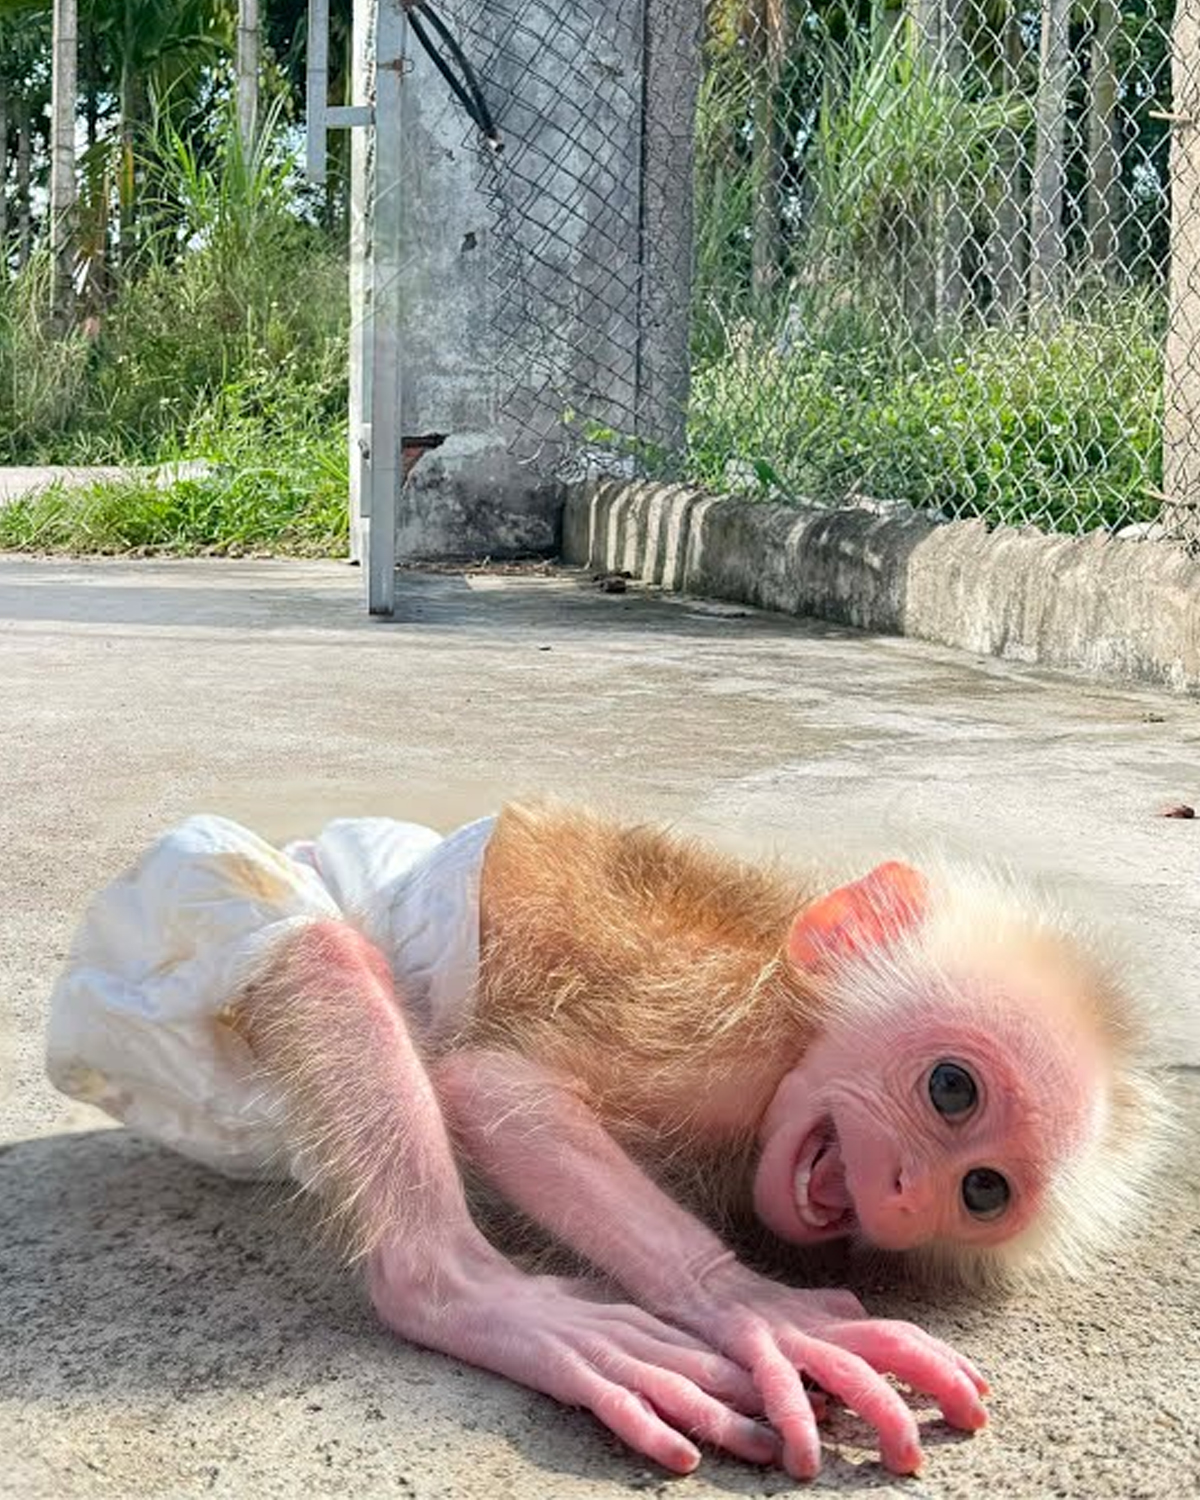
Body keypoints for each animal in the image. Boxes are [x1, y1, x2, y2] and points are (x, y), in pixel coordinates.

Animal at [46, 802, 1169, 1480]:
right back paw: (477, 1299)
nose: (901, 1194)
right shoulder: (711, 1028)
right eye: (950, 1087)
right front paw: (751, 1308)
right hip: (158, 935)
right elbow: (492, 1088)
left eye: (982, 1191)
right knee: (309, 946)